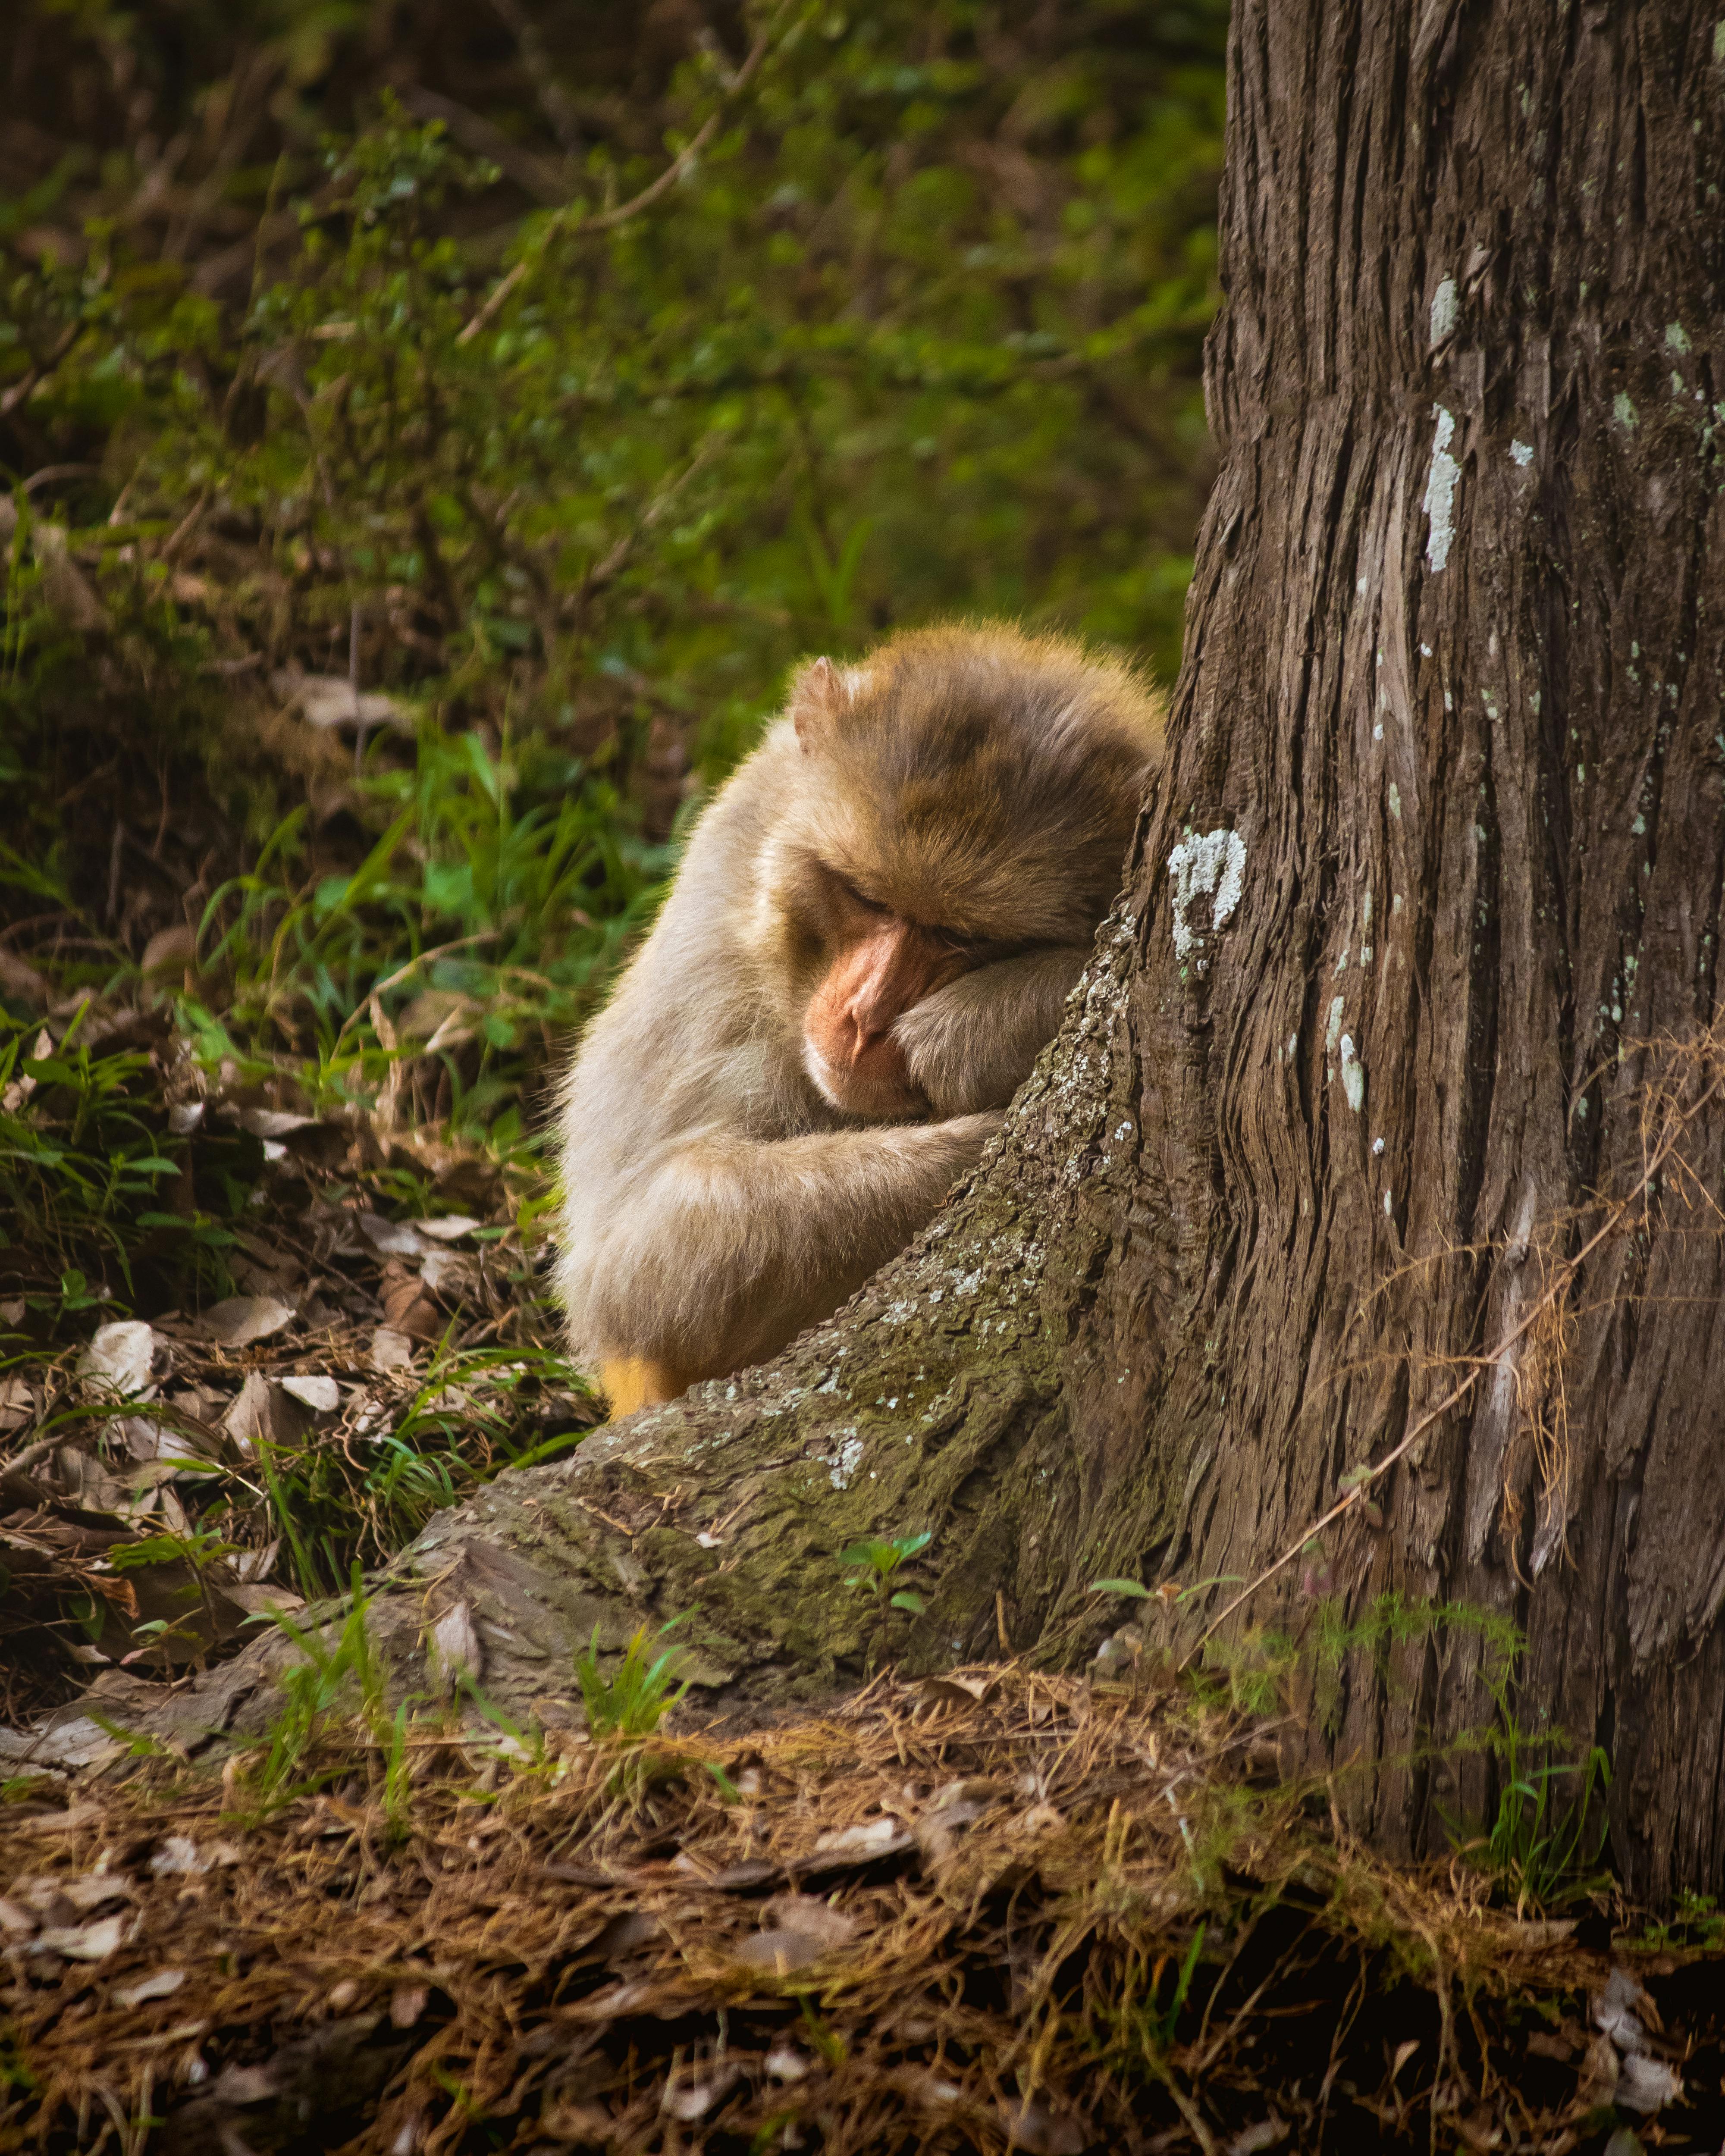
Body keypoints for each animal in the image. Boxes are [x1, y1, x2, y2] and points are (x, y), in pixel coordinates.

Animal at [554, 623, 1164, 1414]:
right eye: (868, 898)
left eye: (961, 937)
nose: (866, 1016)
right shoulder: (706, 955)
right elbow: (627, 1264)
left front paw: (984, 1024)